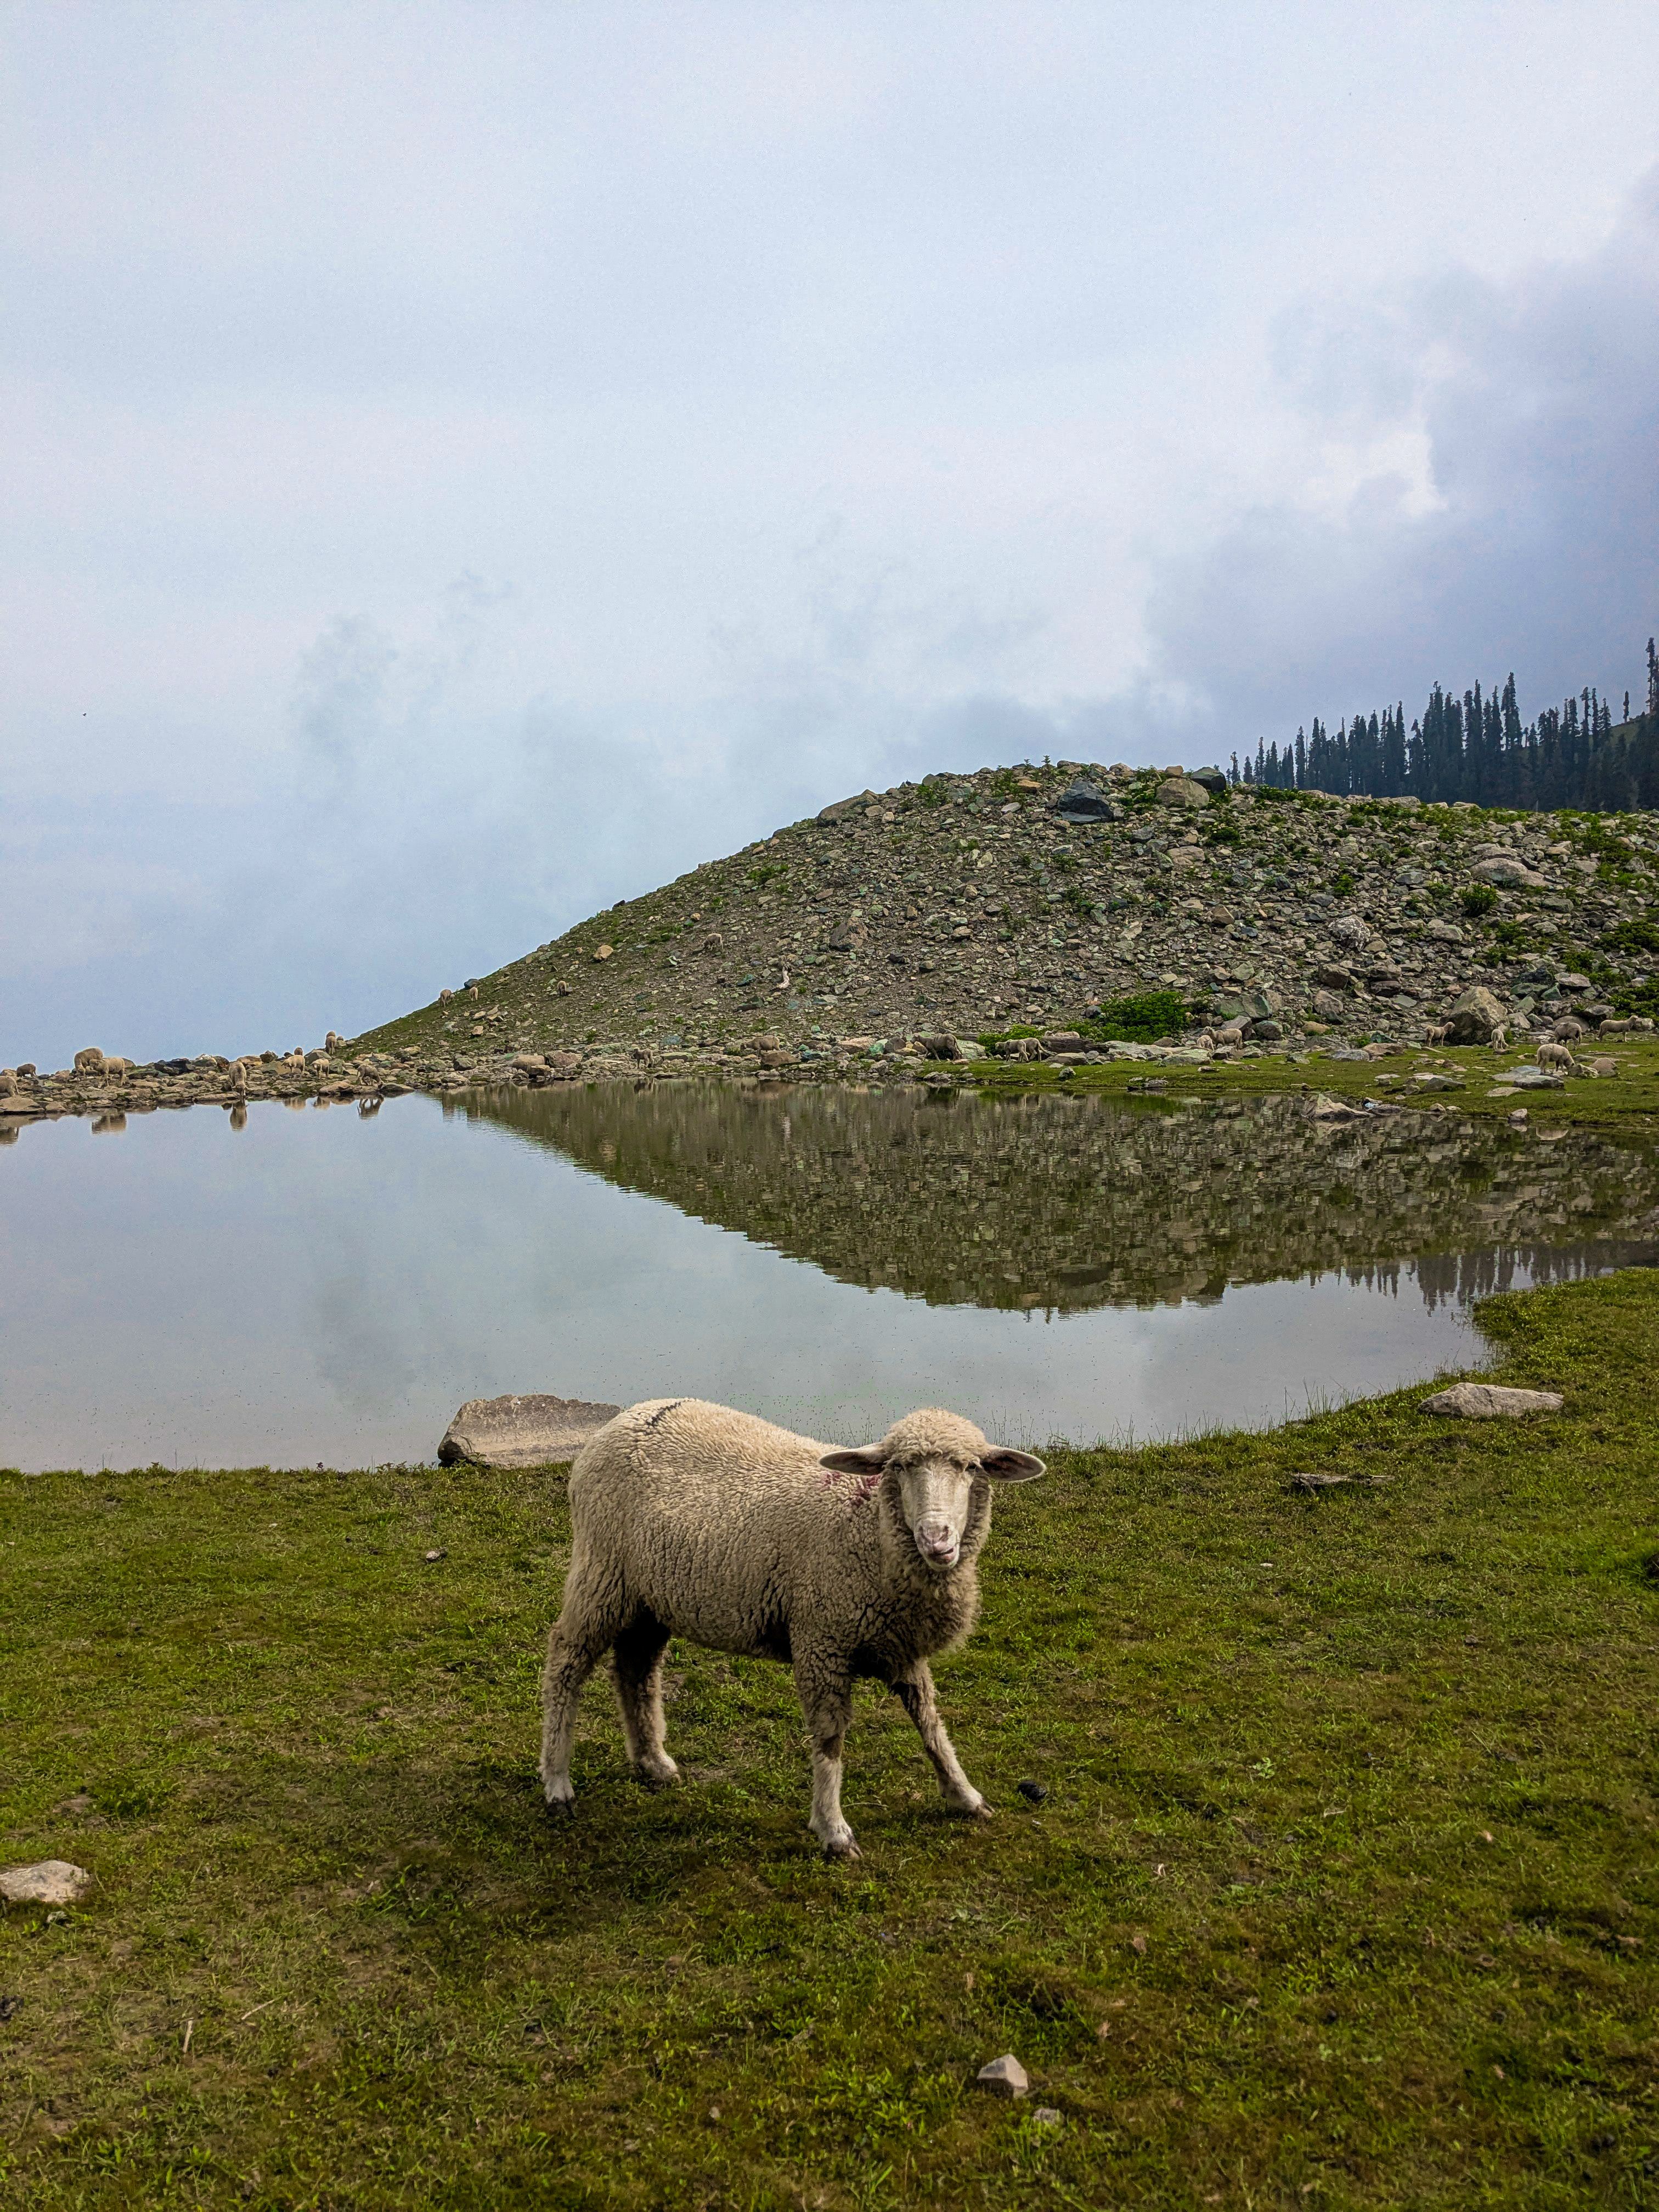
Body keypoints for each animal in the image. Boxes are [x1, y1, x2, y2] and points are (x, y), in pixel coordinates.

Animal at [539, 1399, 1045, 1857]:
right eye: (899, 1467)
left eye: (970, 1467)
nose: (936, 1539)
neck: (869, 1529)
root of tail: (626, 1417)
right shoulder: (821, 1638)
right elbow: (830, 1738)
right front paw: (833, 1829)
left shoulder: (899, 1644)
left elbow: (929, 1721)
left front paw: (964, 1795)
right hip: (602, 1572)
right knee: (565, 1661)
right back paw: (557, 1784)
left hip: (649, 1598)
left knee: (636, 1669)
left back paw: (652, 1761)